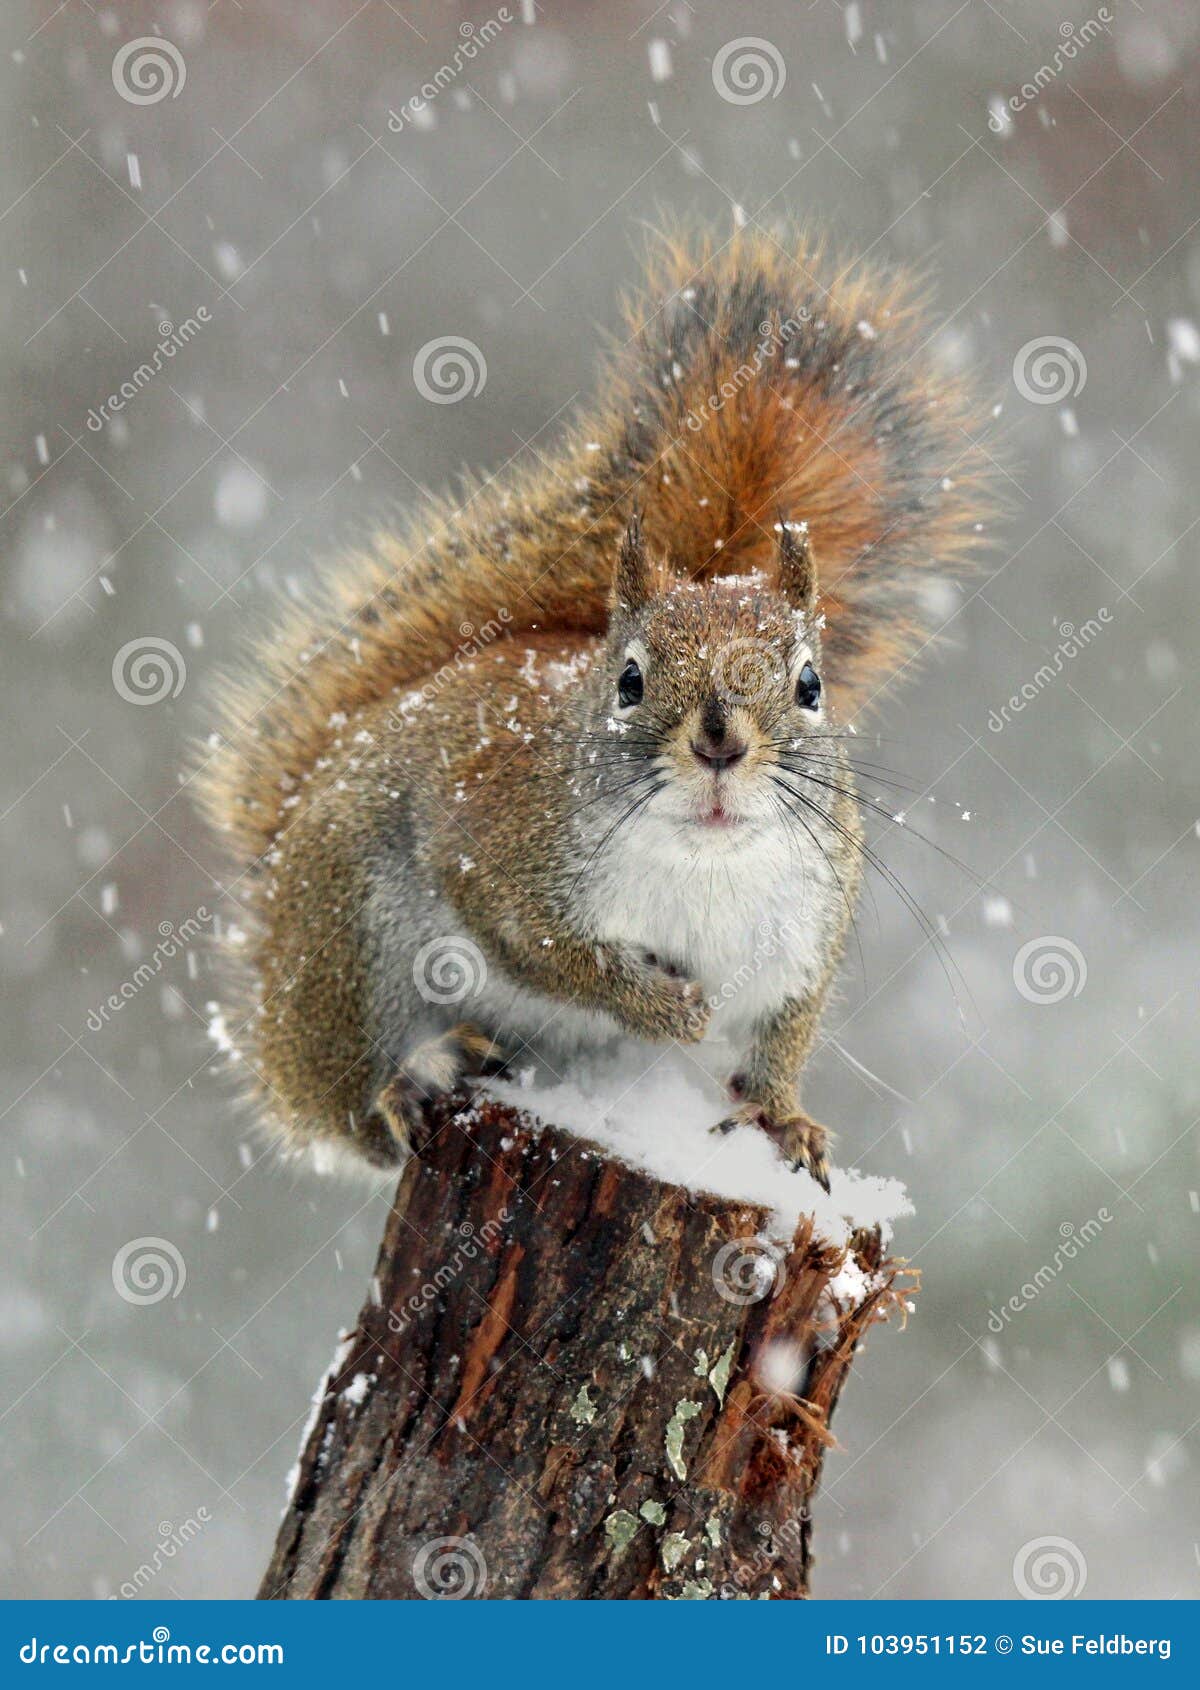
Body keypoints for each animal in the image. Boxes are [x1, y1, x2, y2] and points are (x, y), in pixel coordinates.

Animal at [199, 228, 994, 1189]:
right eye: (630, 681)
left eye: (811, 685)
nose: (719, 742)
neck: (704, 865)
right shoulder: (495, 856)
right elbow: (554, 957)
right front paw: (660, 1009)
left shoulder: (804, 939)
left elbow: (782, 1038)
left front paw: (783, 1119)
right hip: (343, 945)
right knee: (350, 1109)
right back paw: (411, 1077)